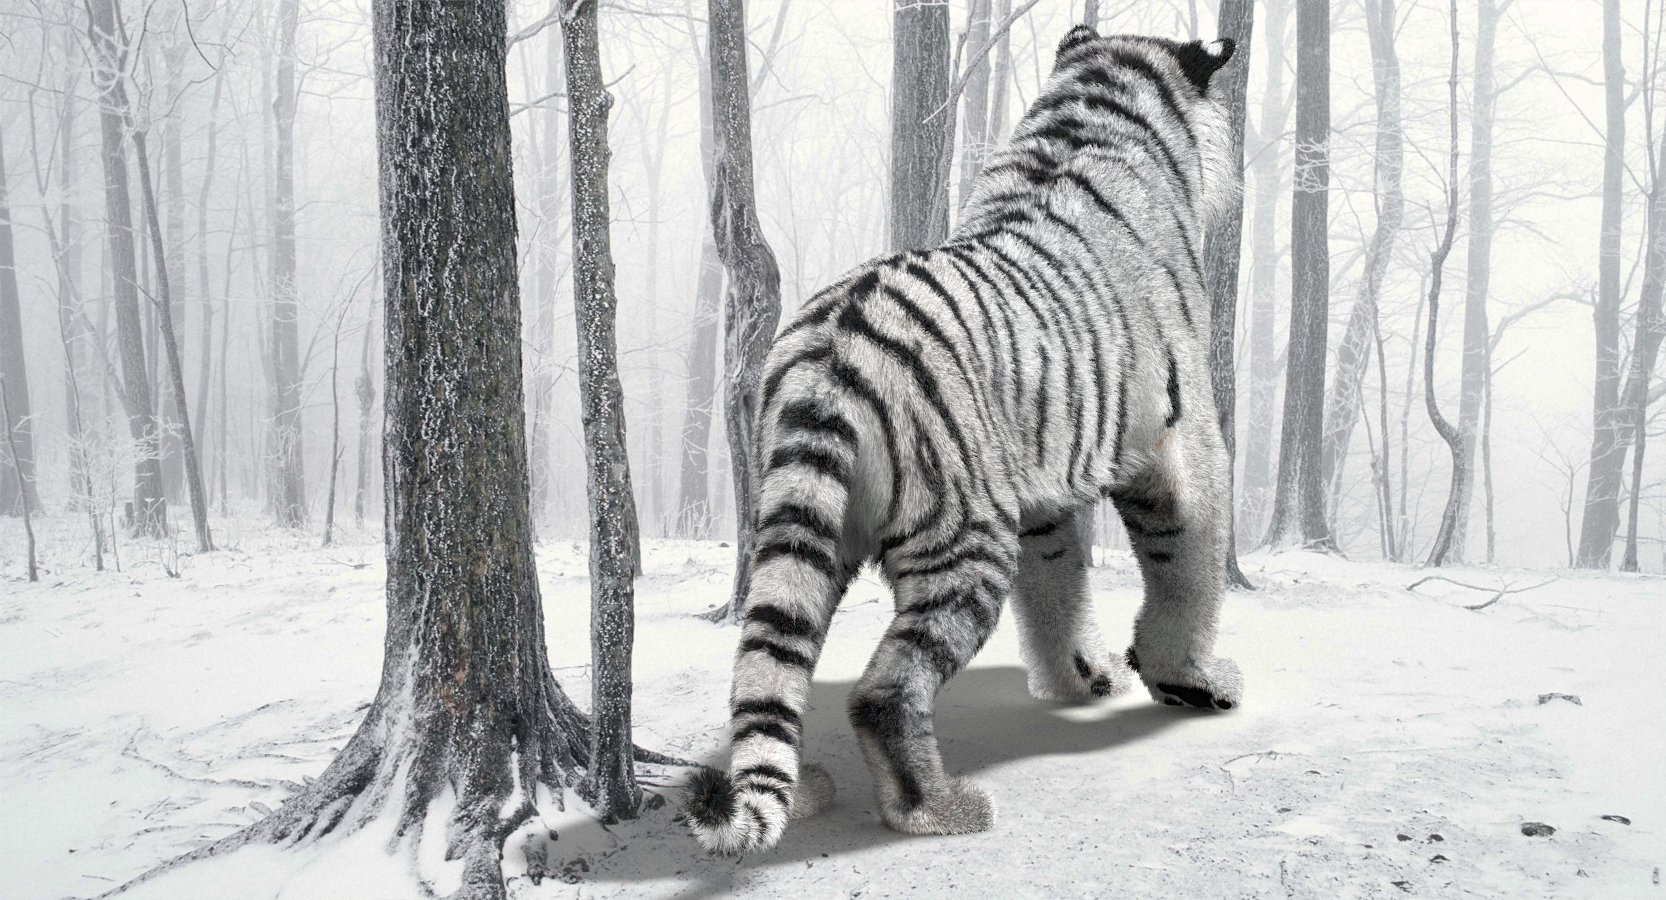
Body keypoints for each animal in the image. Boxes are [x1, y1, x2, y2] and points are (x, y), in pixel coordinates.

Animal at [685, 26, 1245, 855]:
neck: (1096, 113)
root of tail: (831, 348)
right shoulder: (1182, 453)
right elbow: (1188, 574)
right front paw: (1194, 680)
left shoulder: (1044, 491)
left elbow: (1057, 587)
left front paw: (1081, 677)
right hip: (964, 539)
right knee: (882, 692)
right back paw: (941, 809)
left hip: (796, 525)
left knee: (765, 666)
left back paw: (804, 789)